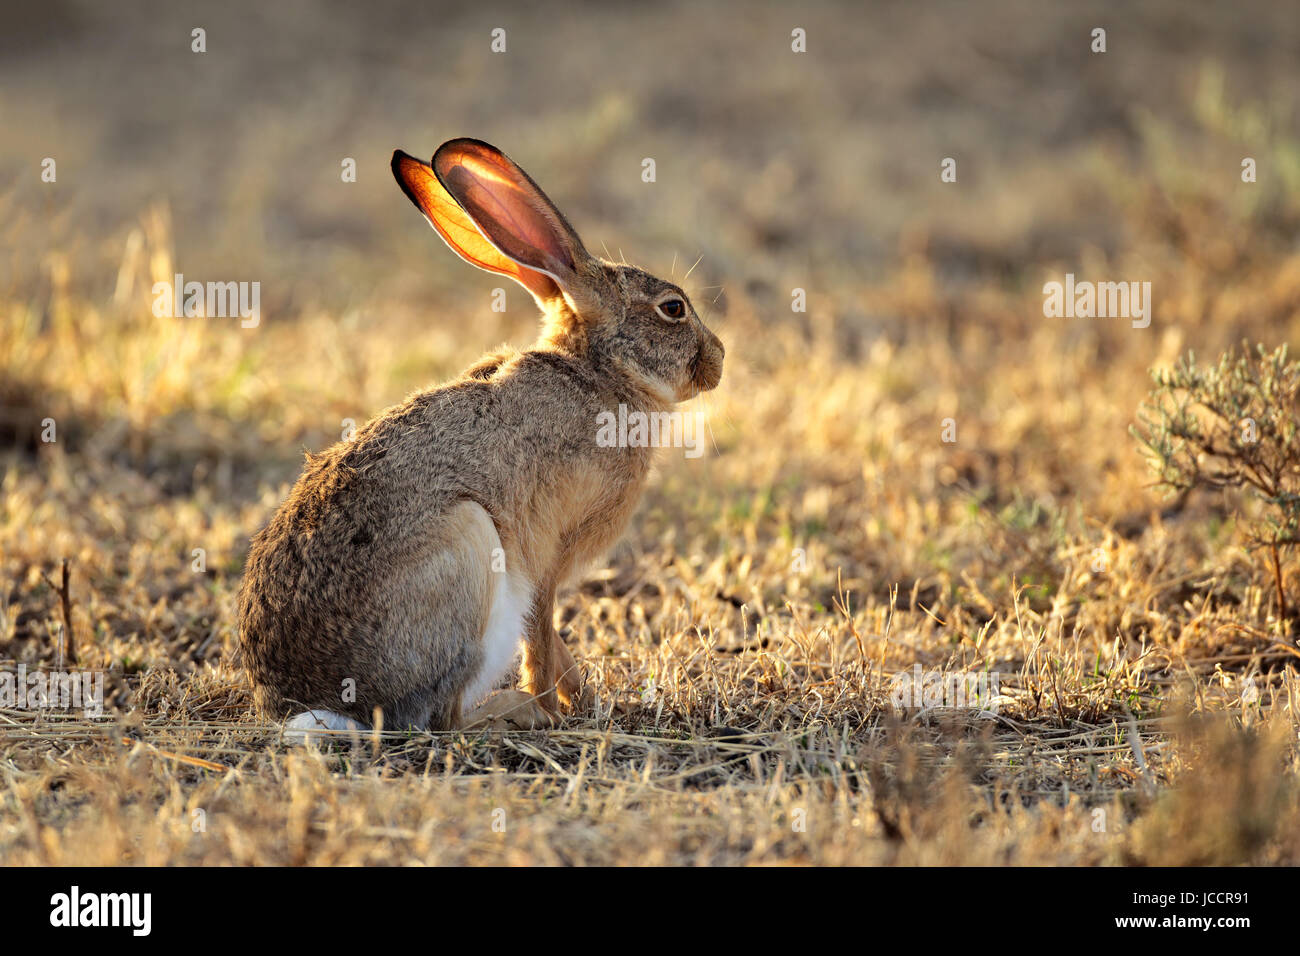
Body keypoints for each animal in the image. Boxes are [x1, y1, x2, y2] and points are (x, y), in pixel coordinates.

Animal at [237, 138, 724, 738]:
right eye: (673, 308)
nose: (719, 361)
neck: (598, 372)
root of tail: (323, 704)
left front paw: (579, 697)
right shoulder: (546, 555)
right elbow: (541, 630)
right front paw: (562, 703)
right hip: (470, 548)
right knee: (441, 716)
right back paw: (513, 710)